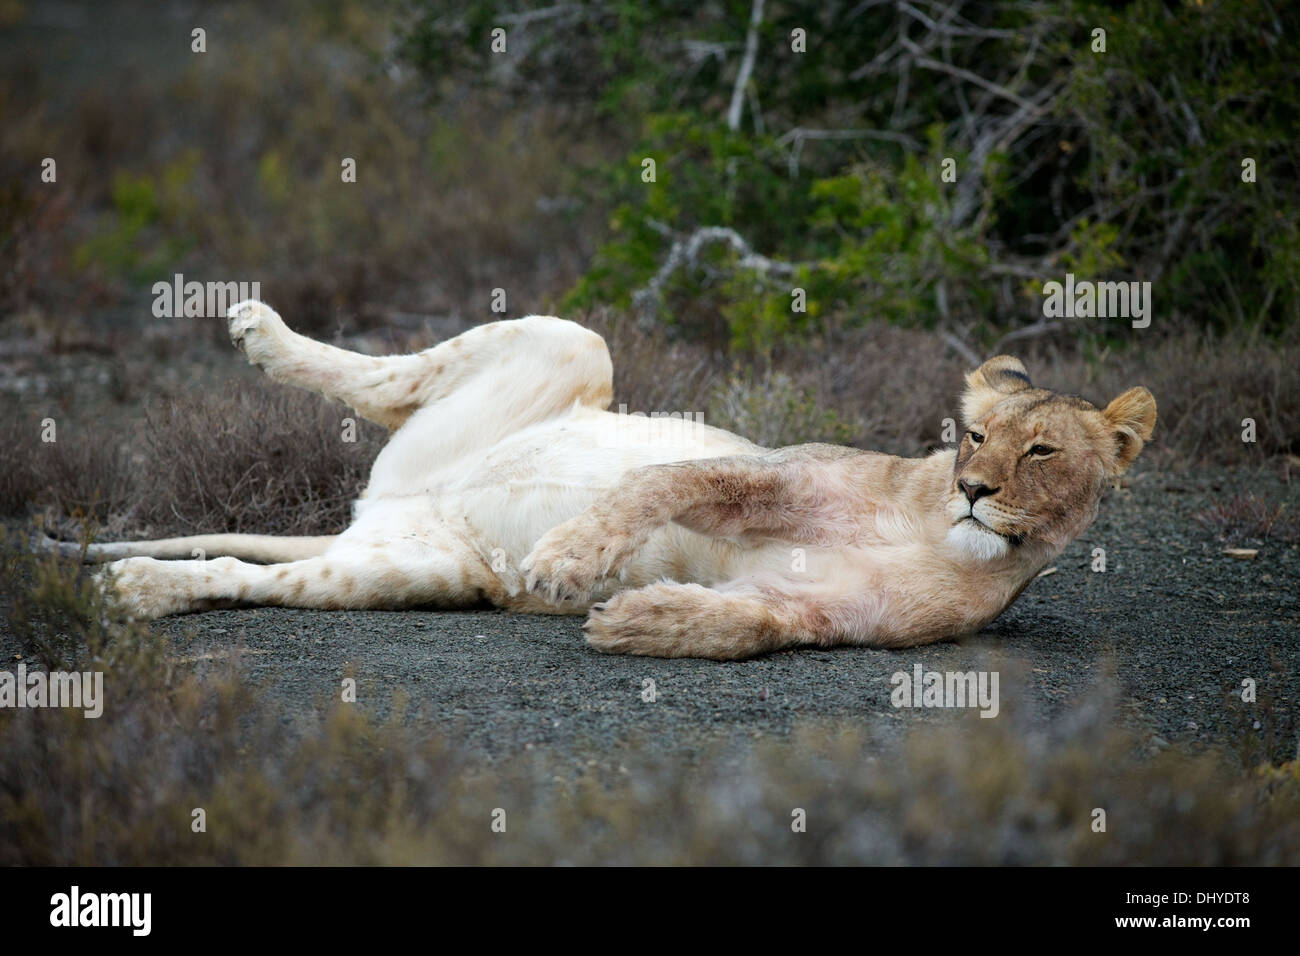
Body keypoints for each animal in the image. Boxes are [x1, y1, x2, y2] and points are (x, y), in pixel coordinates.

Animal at [58, 301, 1156, 660]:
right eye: (972, 434)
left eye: (1040, 454)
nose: (975, 487)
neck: (935, 527)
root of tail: (386, 505)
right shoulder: (771, 469)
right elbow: (657, 487)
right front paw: (566, 560)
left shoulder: (824, 612)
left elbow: (744, 624)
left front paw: (637, 619)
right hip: (569, 345)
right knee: (376, 379)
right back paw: (260, 329)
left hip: (402, 570)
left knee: (254, 577)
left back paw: (139, 590)